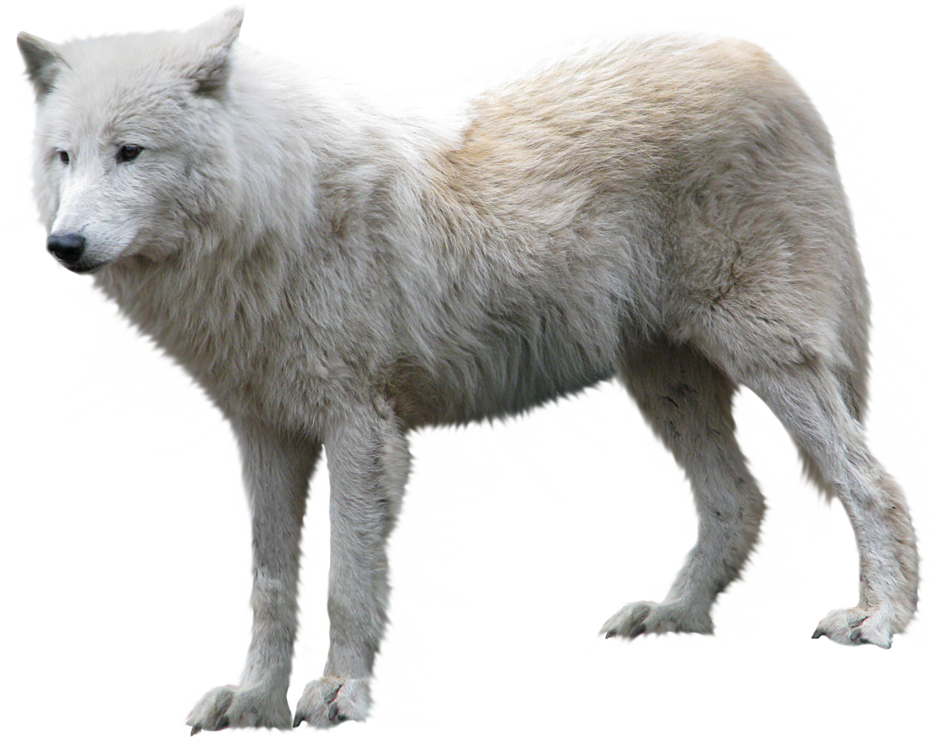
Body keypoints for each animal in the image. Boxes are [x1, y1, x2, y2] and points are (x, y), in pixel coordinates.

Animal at [19, 3, 925, 732]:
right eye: (64, 156)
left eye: (130, 152)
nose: (64, 246)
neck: (272, 207)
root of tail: (772, 66)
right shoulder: (264, 433)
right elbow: (271, 586)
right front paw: (253, 701)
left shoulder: (359, 426)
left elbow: (347, 579)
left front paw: (340, 694)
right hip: (664, 378)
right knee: (739, 497)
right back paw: (672, 615)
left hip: (768, 356)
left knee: (874, 483)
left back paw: (878, 617)